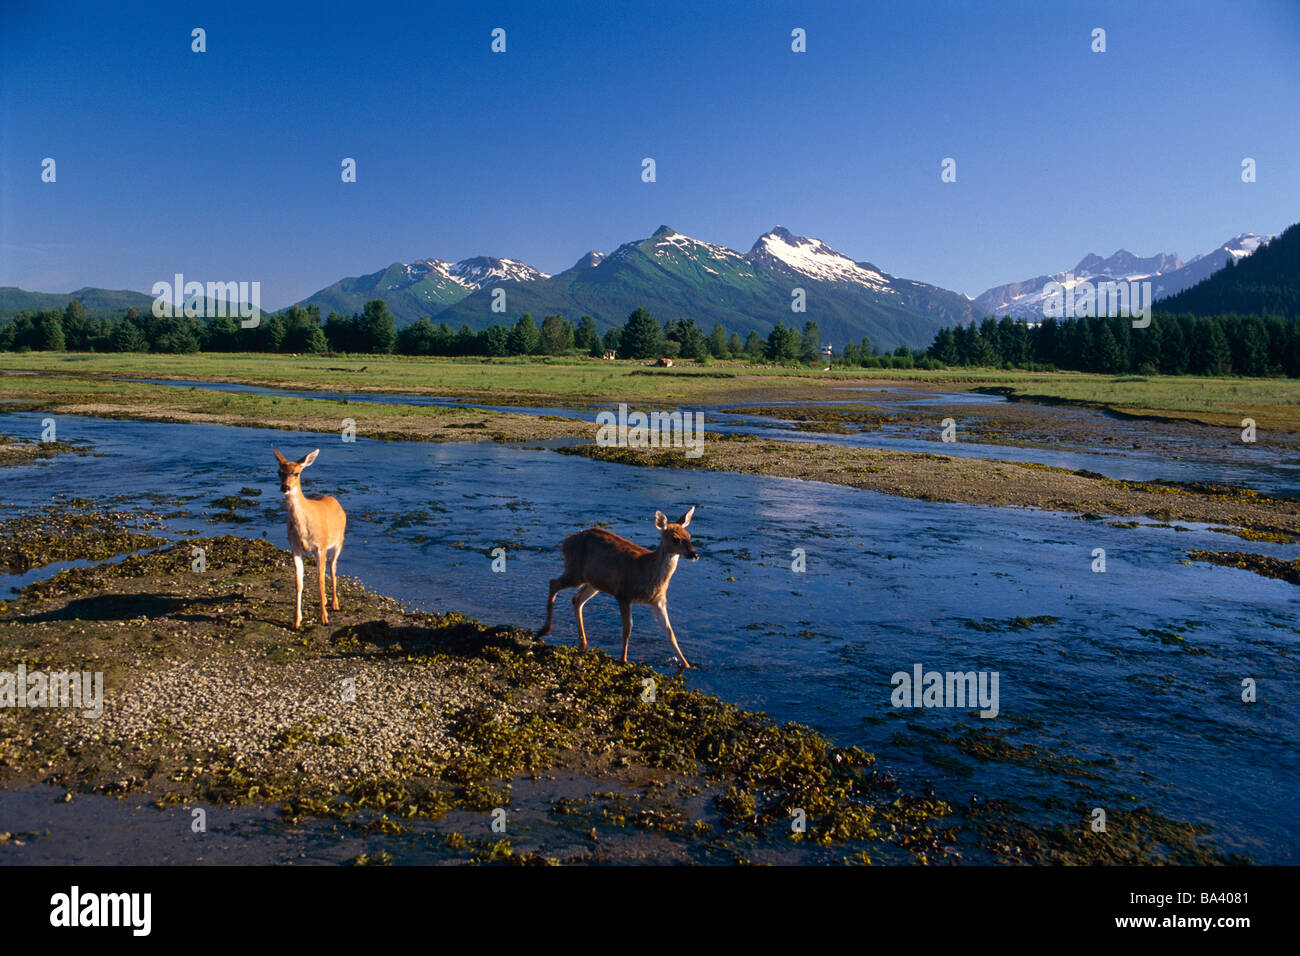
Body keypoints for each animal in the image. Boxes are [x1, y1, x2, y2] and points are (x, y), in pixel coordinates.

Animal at [272, 447, 347, 629]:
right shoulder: (295, 547)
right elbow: (298, 581)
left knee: (332, 566)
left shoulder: (321, 546)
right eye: (279, 471)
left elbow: (320, 580)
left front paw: (324, 618)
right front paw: (296, 621)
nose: (285, 487)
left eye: (297, 473)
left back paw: (334, 603)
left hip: (339, 541)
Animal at [538, 507, 698, 668]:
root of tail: (566, 541)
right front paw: (623, 659)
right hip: (575, 572)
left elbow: (670, 632)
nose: (695, 554)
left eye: (689, 536)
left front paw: (687, 664)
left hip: (594, 583)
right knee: (553, 583)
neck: (648, 572)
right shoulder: (624, 594)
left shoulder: (658, 601)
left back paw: (583, 643)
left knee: (576, 599)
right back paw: (545, 630)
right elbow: (627, 629)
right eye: (675, 539)